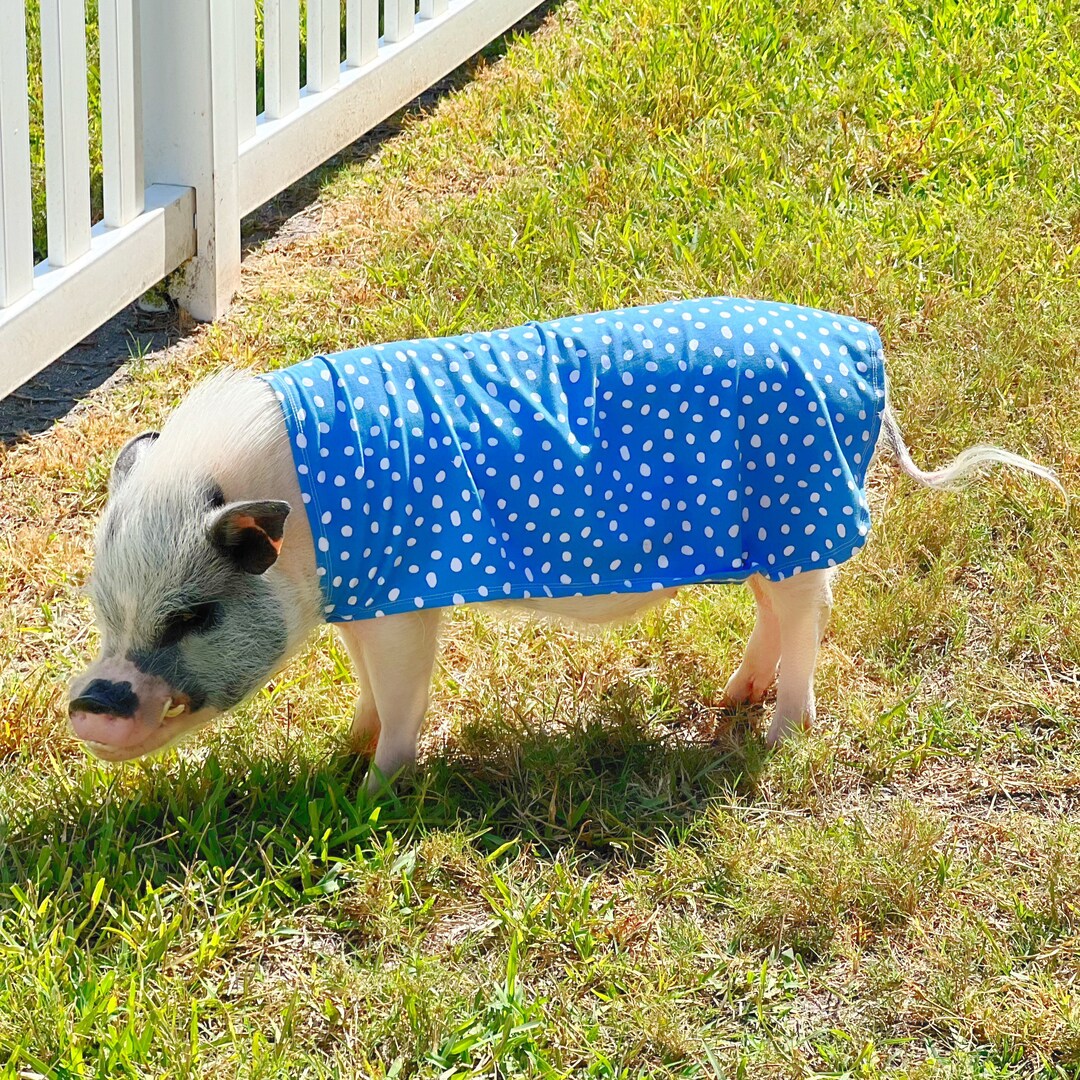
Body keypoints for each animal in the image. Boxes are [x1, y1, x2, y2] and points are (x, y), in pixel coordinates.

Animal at [68, 297, 1062, 783]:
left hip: (802, 508)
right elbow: (367, 691)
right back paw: (730, 703)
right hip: (770, 530)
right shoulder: (365, 603)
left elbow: (403, 696)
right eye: (107, 615)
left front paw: (374, 788)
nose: (90, 700)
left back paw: (778, 737)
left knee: (812, 618)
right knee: (778, 615)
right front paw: (340, 757)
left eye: (191, 616)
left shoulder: (406, 606)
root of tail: (860, 347)